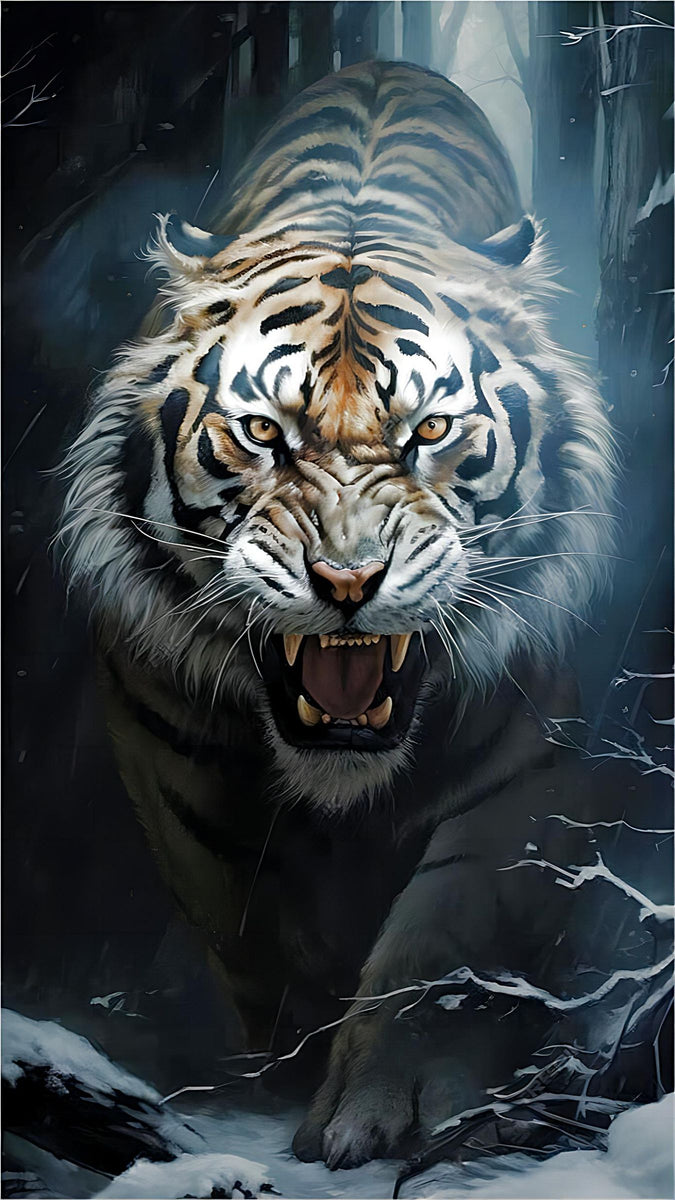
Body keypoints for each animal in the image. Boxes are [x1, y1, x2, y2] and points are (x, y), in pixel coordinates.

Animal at [58, 61, 618, 1167]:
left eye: (430, 431)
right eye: (263, 433)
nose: (348, 580)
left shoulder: (529, 762)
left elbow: (442, 943)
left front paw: (386, 1106)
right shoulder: (172, 759)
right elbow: (252, 930)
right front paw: (288, 1068)